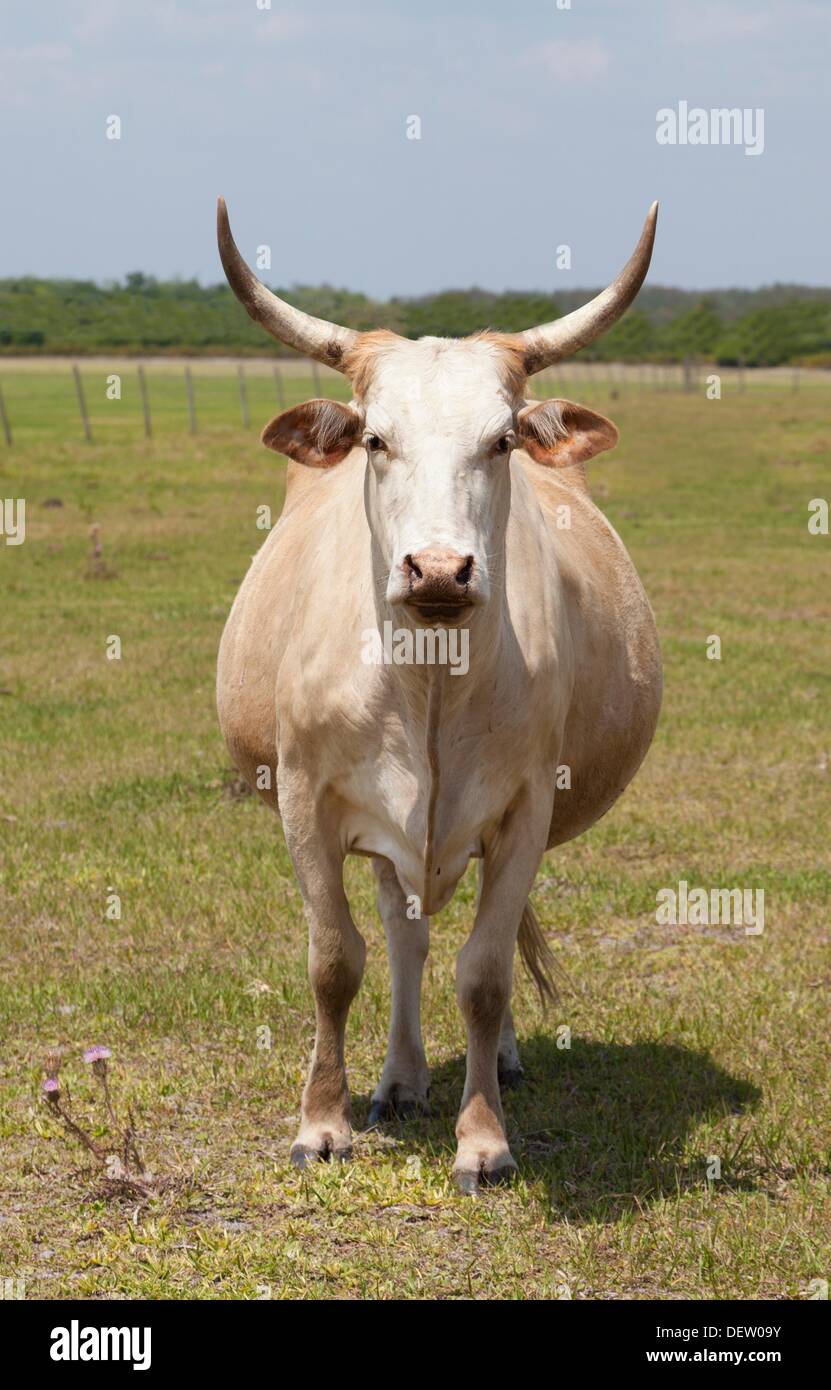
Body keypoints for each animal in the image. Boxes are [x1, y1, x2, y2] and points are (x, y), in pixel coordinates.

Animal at [215, 198, 662, 1194]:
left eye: (500, 441)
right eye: (375, 439)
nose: (438, 569)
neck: (425, 675)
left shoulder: (526, 805)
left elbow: (485, 973)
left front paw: (483, 1140)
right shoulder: (305, 799)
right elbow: (336, 960)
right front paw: (323, 1122)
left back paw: (493, 1062)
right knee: (403, 931)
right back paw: (398, 1078)